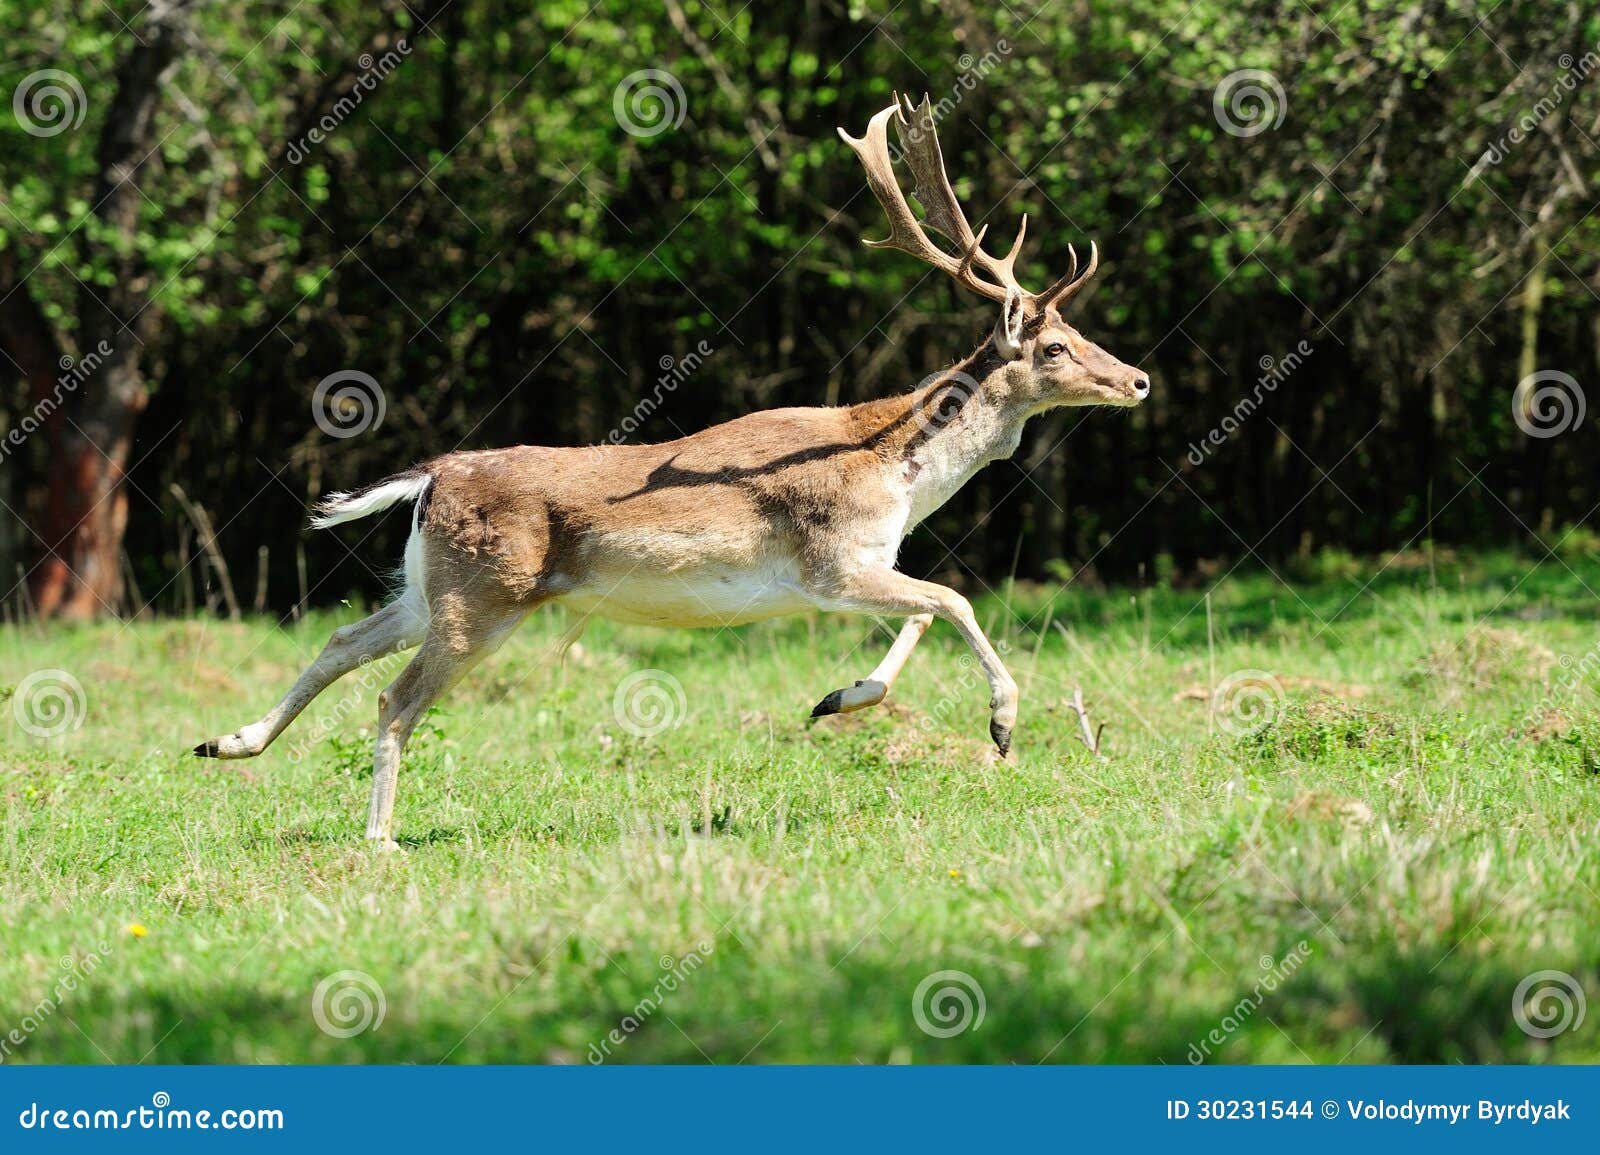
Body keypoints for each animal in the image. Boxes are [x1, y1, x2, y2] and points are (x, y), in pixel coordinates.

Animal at [193, 93, 1151, 848]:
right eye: (1056, 348)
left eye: (1082, 337)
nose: (1139, 379)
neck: (897, 470)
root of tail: (429, 479)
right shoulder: (831, 561)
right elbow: (955, 598)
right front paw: (1001, 725)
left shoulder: (858, 568)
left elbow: (924, 611)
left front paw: (837, 699)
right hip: (482, 597)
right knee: (394, 697)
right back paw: (380, 838)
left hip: (430, 587)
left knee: (341, 639)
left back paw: (226, 743)